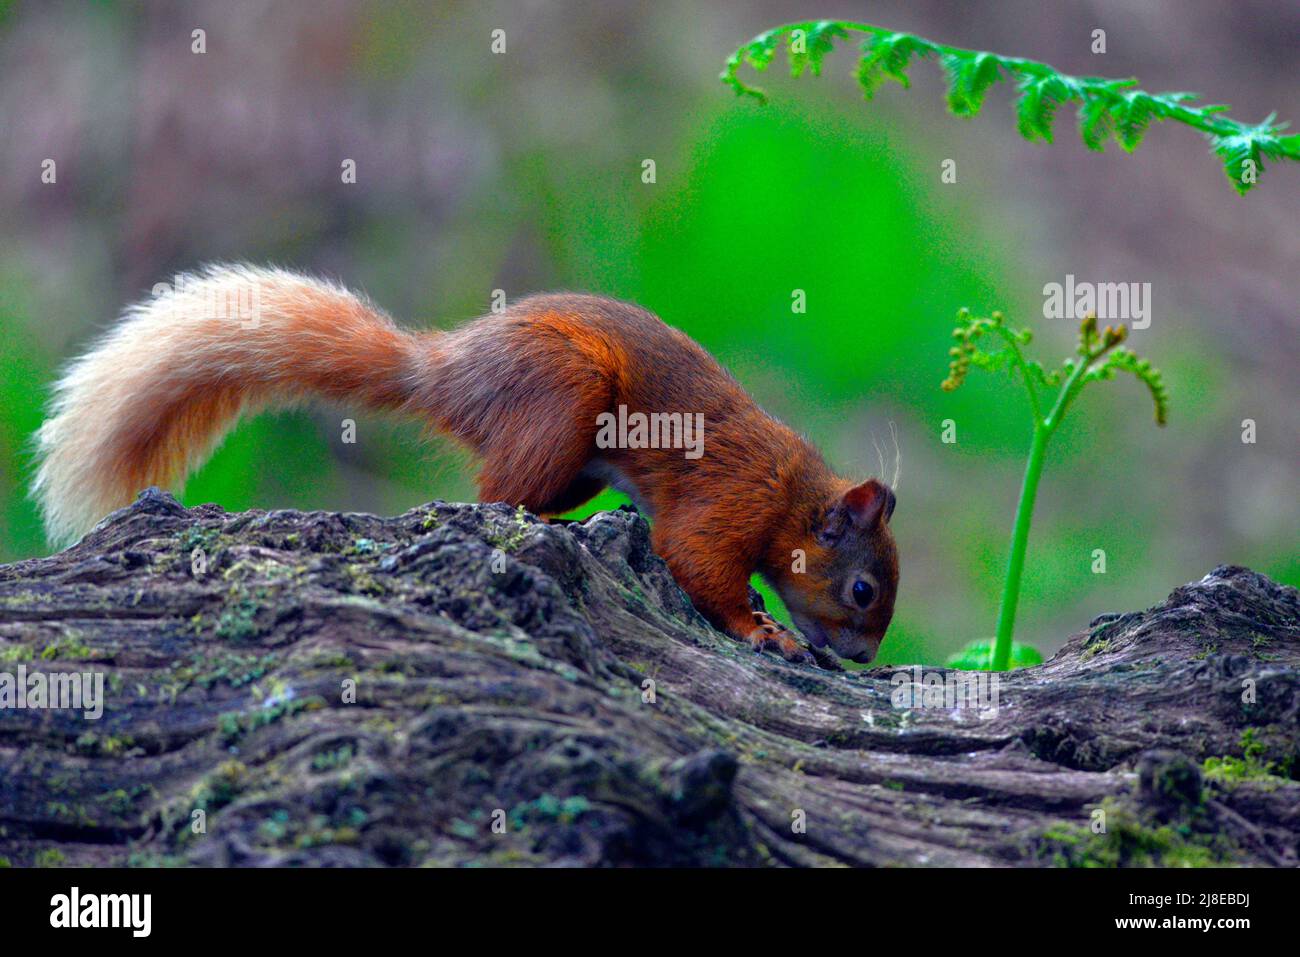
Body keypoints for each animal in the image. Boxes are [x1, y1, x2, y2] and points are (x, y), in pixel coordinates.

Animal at [32, 265, 899, 665]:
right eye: (862, 588)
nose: (859, 659)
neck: (794, 497)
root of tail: (443, 372)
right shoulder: (732, 498)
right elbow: (696, 560)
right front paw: (761, 627)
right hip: (564, 394)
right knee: (493, 495)